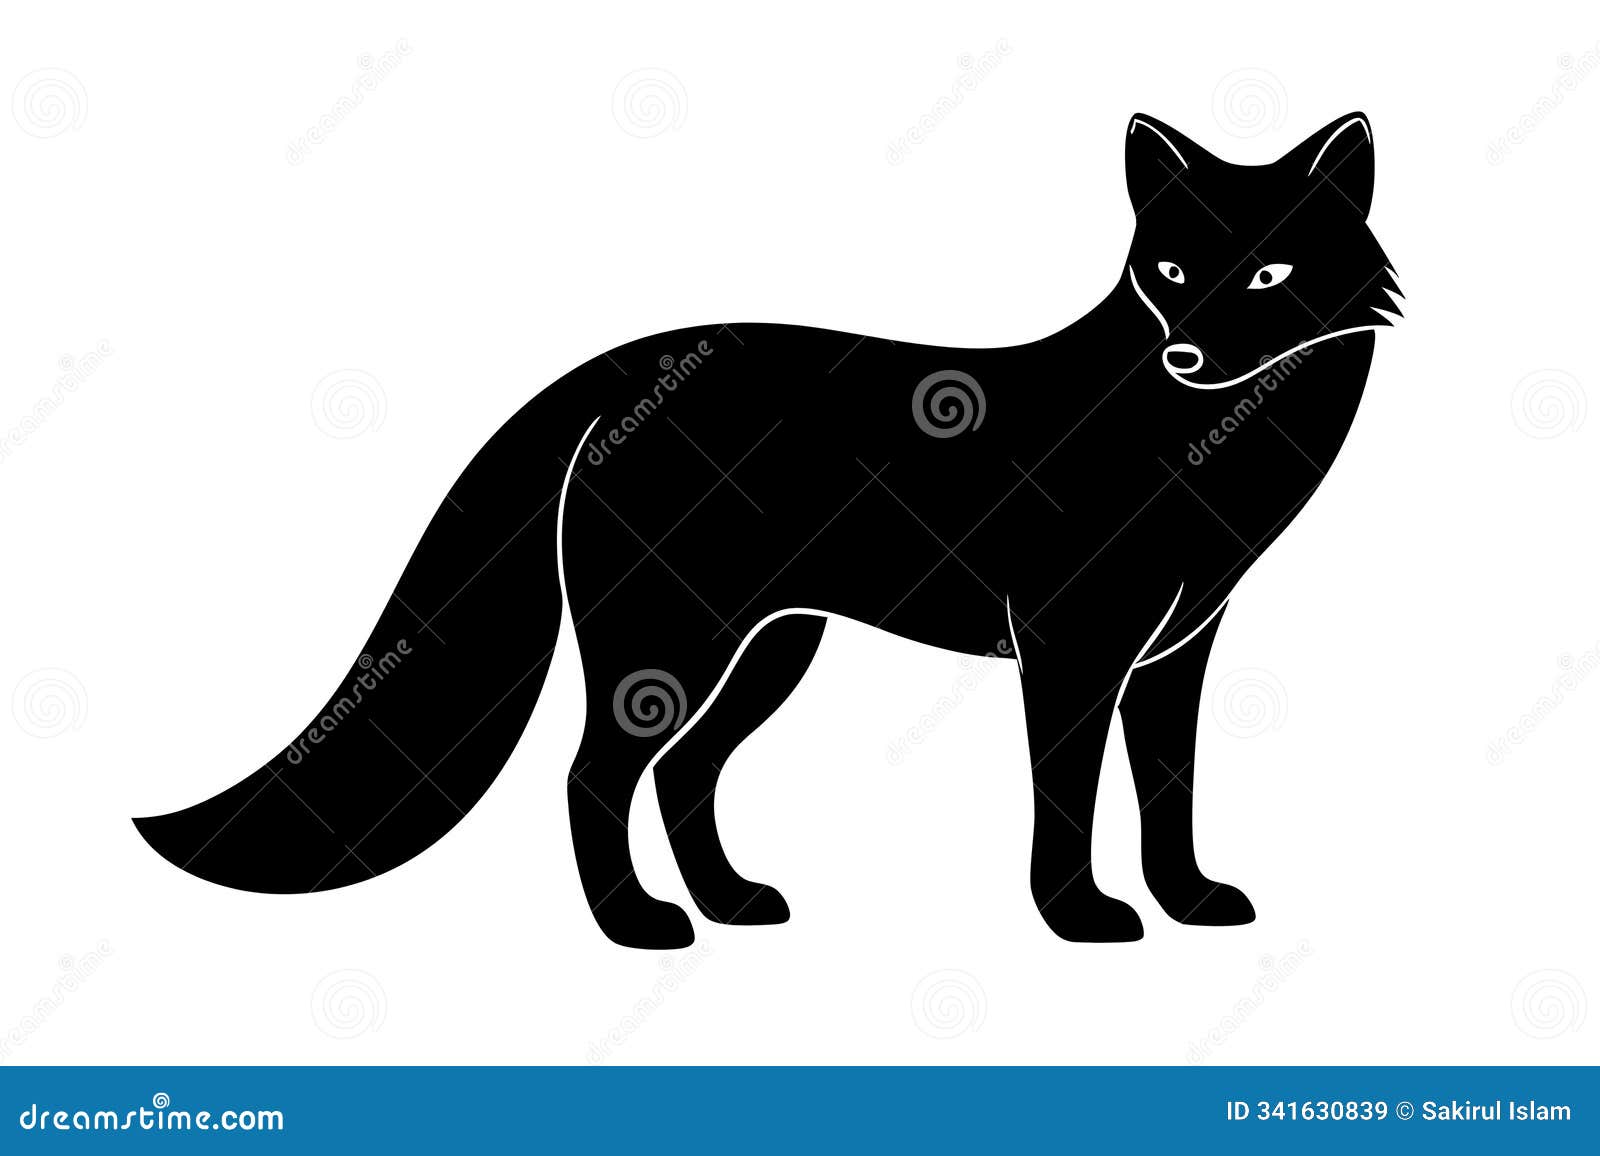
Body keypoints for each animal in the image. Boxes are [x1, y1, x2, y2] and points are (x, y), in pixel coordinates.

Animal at [136, 112, 1401, 949]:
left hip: (768, 649)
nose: (1186, 353)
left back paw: (732, 904)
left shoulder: (1177, 647)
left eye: (1271, 272)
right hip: (674, 644)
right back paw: (640, 927)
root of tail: (625, 369)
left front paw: (1191, 903)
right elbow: (1068, 795)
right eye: (1173, 268)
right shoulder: (1070, 646)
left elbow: (1169, 787)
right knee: (594, 774)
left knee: (682, 771)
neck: (1202, 446)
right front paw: (1081, 917)